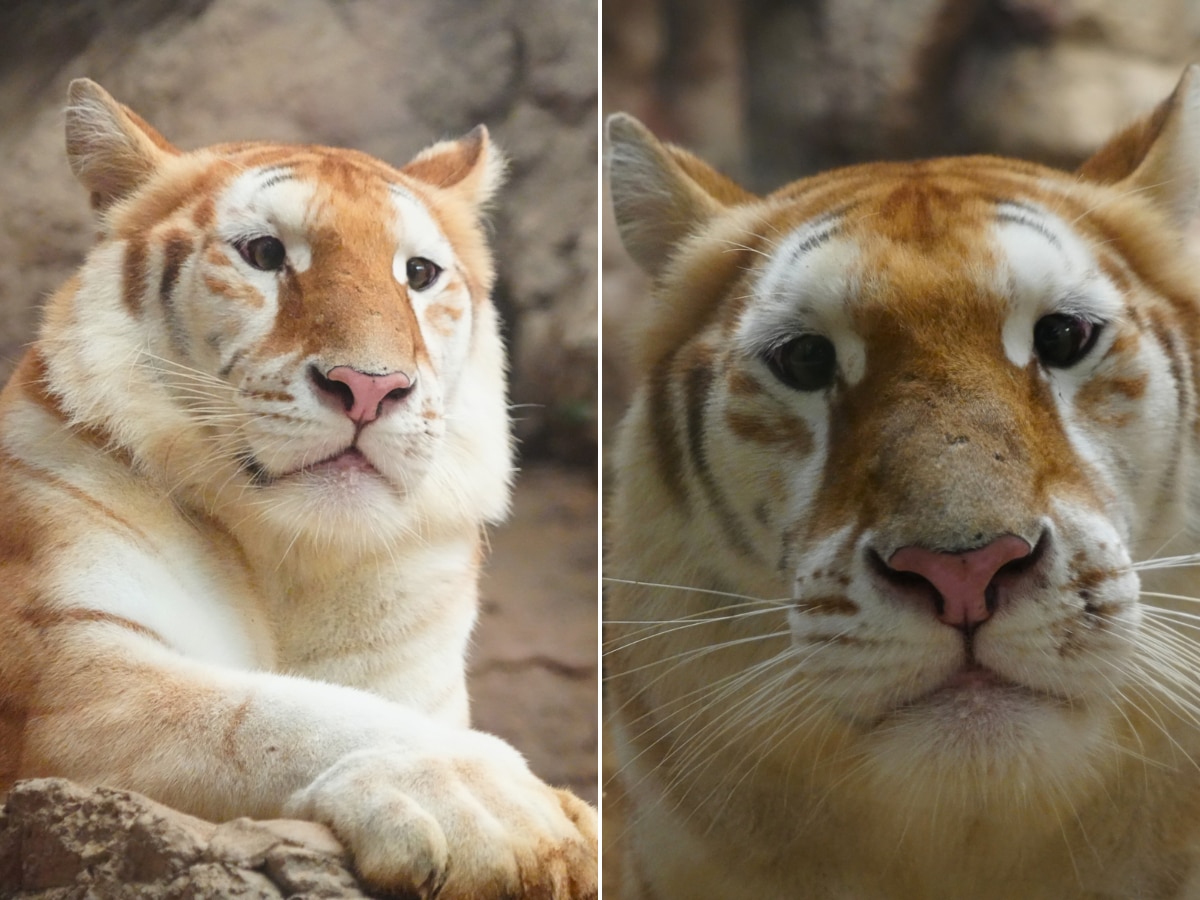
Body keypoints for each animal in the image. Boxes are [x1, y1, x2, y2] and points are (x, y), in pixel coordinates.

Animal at [0, 78, 596, 899]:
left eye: (418, 273)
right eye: (264, 254)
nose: (370, 387)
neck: (296, 560)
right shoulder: (66, 679)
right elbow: (267, 714)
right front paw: (503, 810)